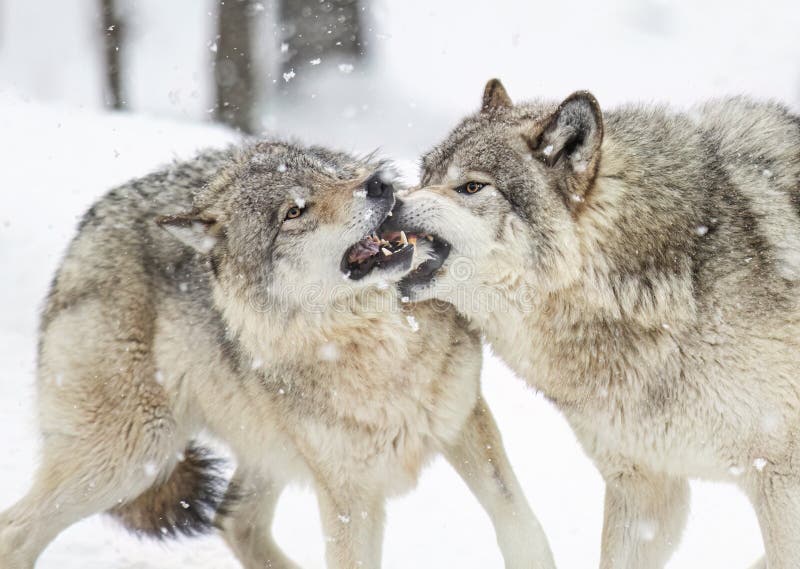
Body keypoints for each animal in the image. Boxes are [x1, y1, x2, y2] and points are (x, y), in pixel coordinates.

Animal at [0, 140, 555, 568]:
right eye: (293, 213)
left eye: (330, 174)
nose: (378, 184)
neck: (384, 345)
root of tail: (86, 230)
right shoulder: (348, 494)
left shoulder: (463, 416)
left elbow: (519, 520)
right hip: (133, 454)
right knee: (15, 533)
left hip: (256, 446)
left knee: (233, 521)